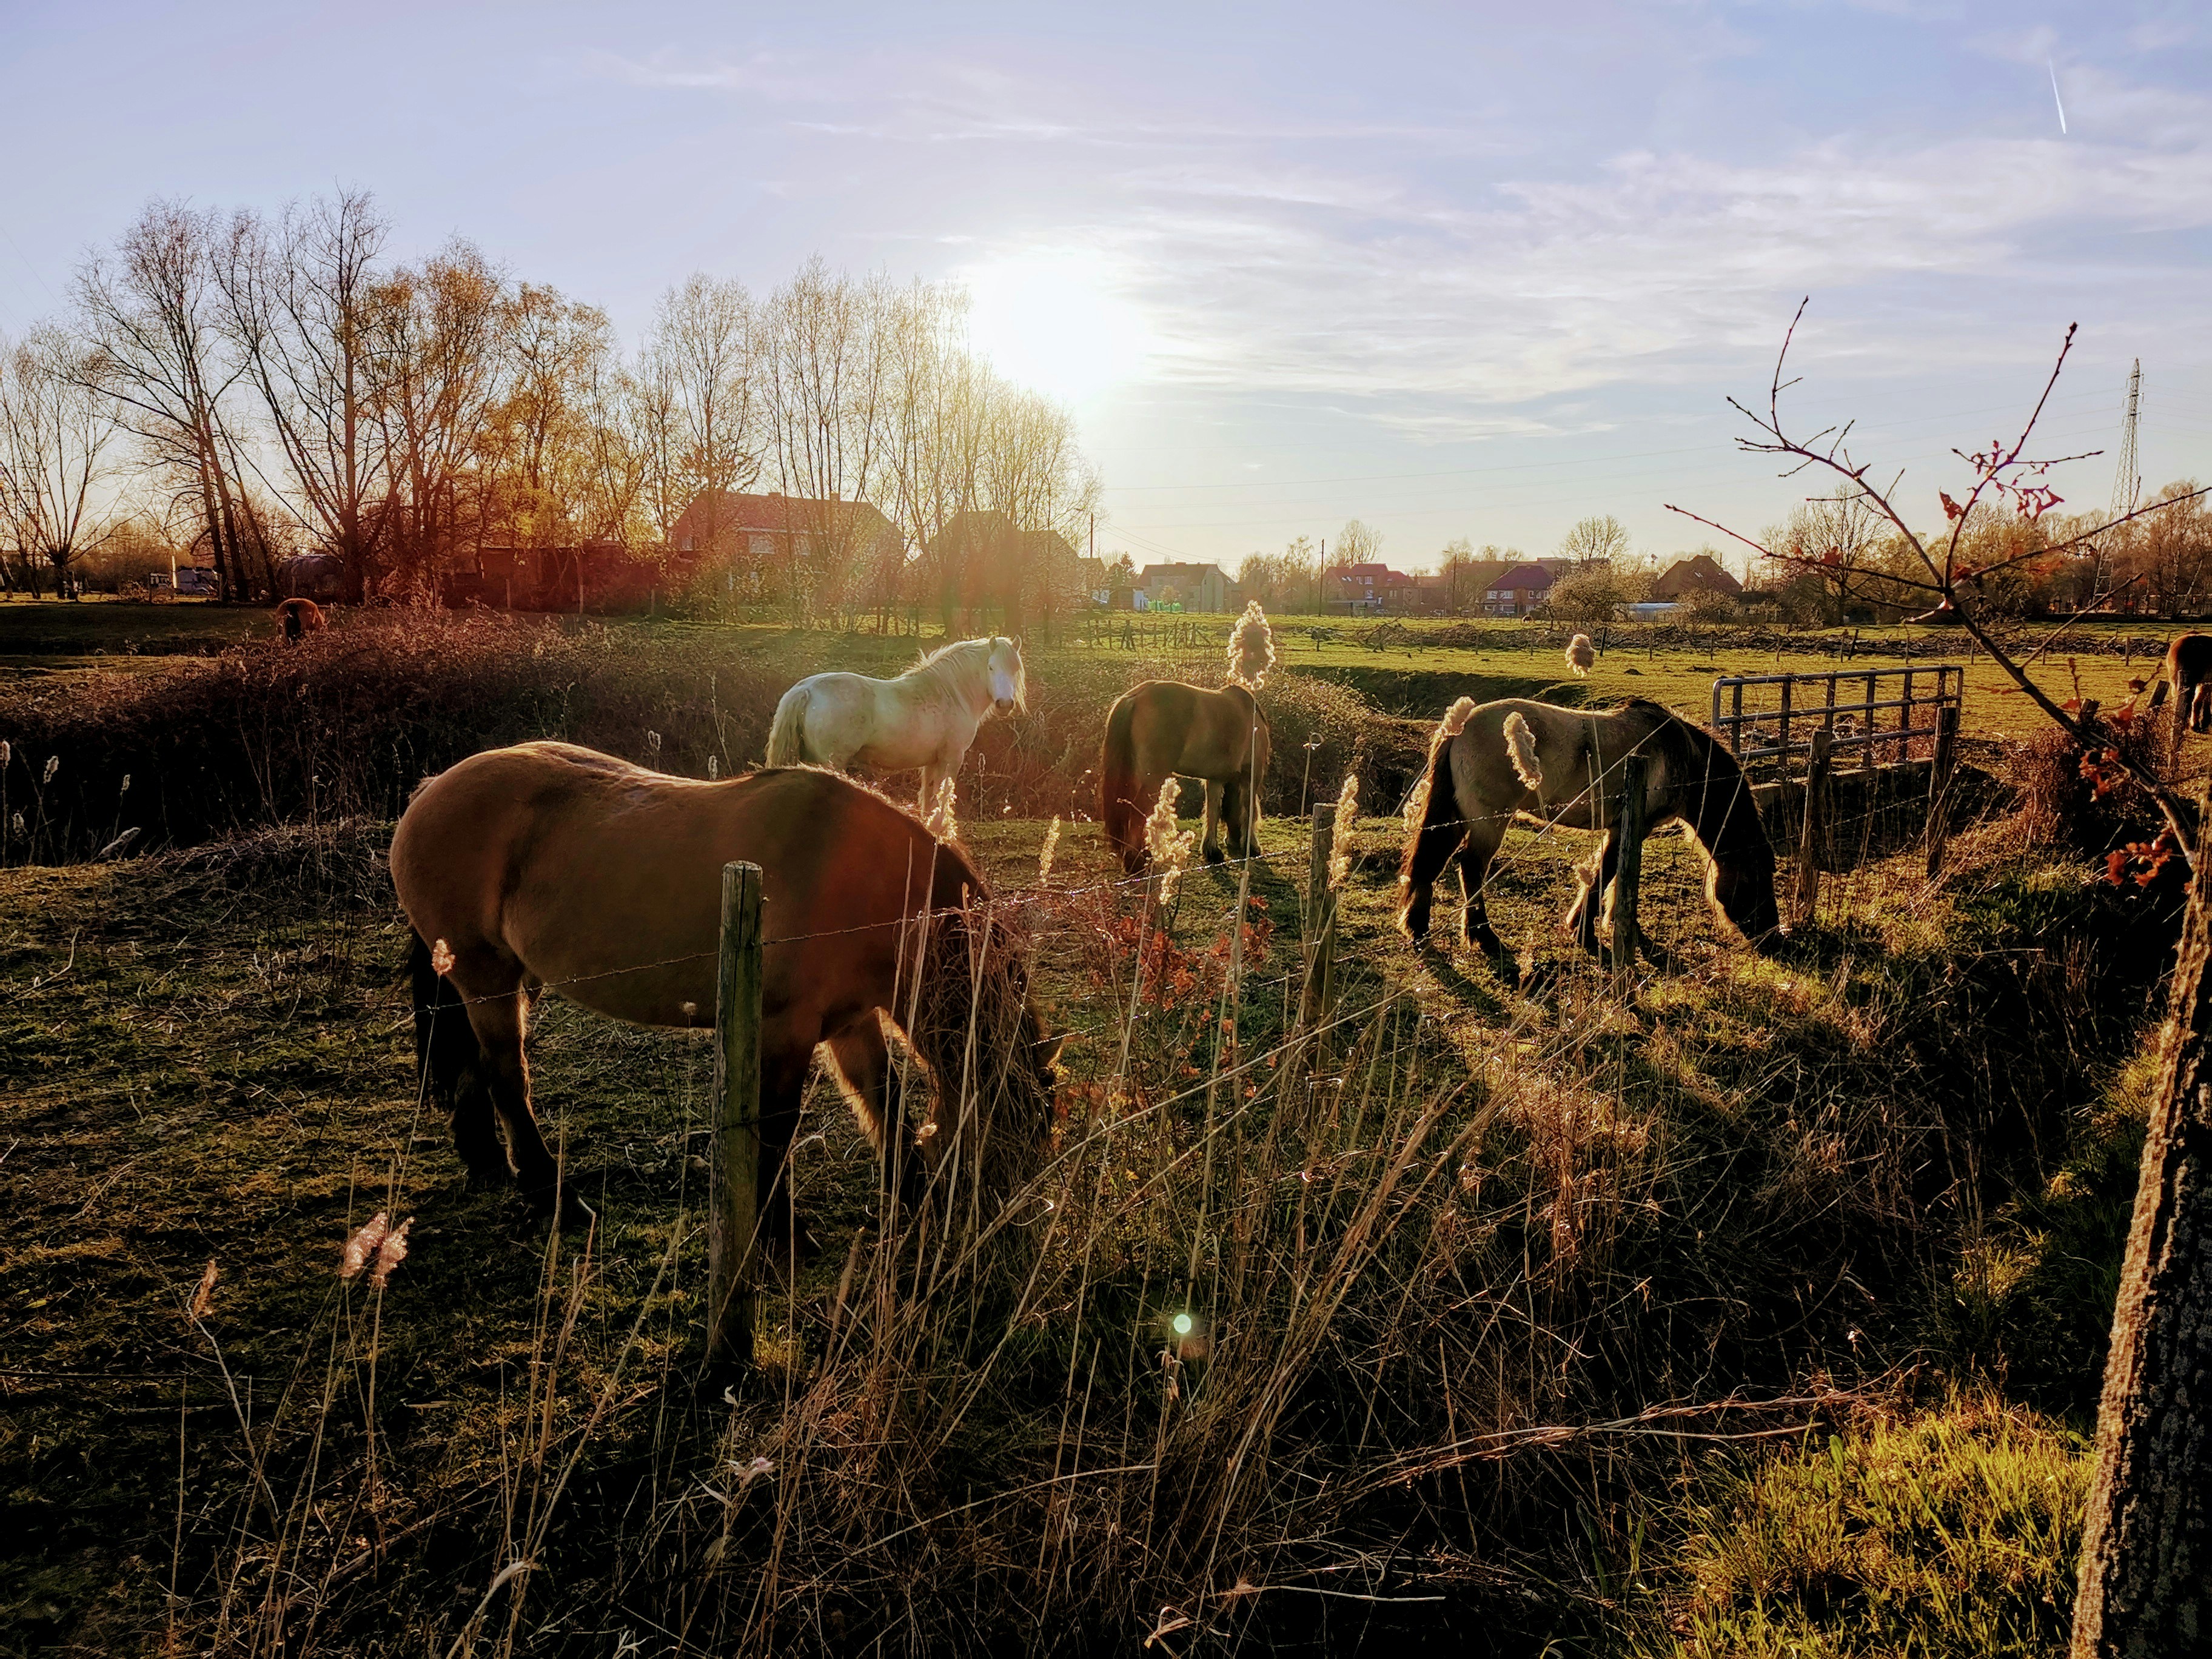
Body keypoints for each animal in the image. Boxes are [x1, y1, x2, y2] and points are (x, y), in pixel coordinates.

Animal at [390, 743, 1063, 1247]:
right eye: (1013, 1133)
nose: (1007, 1233)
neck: (860, 880)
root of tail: (429, 790)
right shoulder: (786, 1029)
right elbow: (777, 1127)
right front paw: (782, 1234)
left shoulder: (851, 1023)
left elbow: (887, 1104)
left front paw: (914, 1198)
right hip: (486, 979)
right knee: (508, 1079)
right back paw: (550, 1196)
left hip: (495, 980)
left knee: (476, 1067)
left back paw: (486, 1162)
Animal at [765, 636, 1025, 812]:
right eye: (991, 667)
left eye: (1015, 668)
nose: (1004, 704)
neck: (951, 693)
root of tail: (806, 689)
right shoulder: (951, 759)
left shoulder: (933, 763)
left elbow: (928, 803)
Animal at [1398, 696, 1783, 975]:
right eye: (1759, 878)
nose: (1774, 938)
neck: (1684, 756)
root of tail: (1460, 724)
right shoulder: (1634, 825)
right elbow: (1605, 876)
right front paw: (1584, 930)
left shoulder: (1625, 829)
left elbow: (1615, 878)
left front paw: (1622, 927)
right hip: (1488, 821)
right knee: (1470, 867)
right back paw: (1484, 936)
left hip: (1457, 818)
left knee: (1432, 864)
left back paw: (1419, 928)